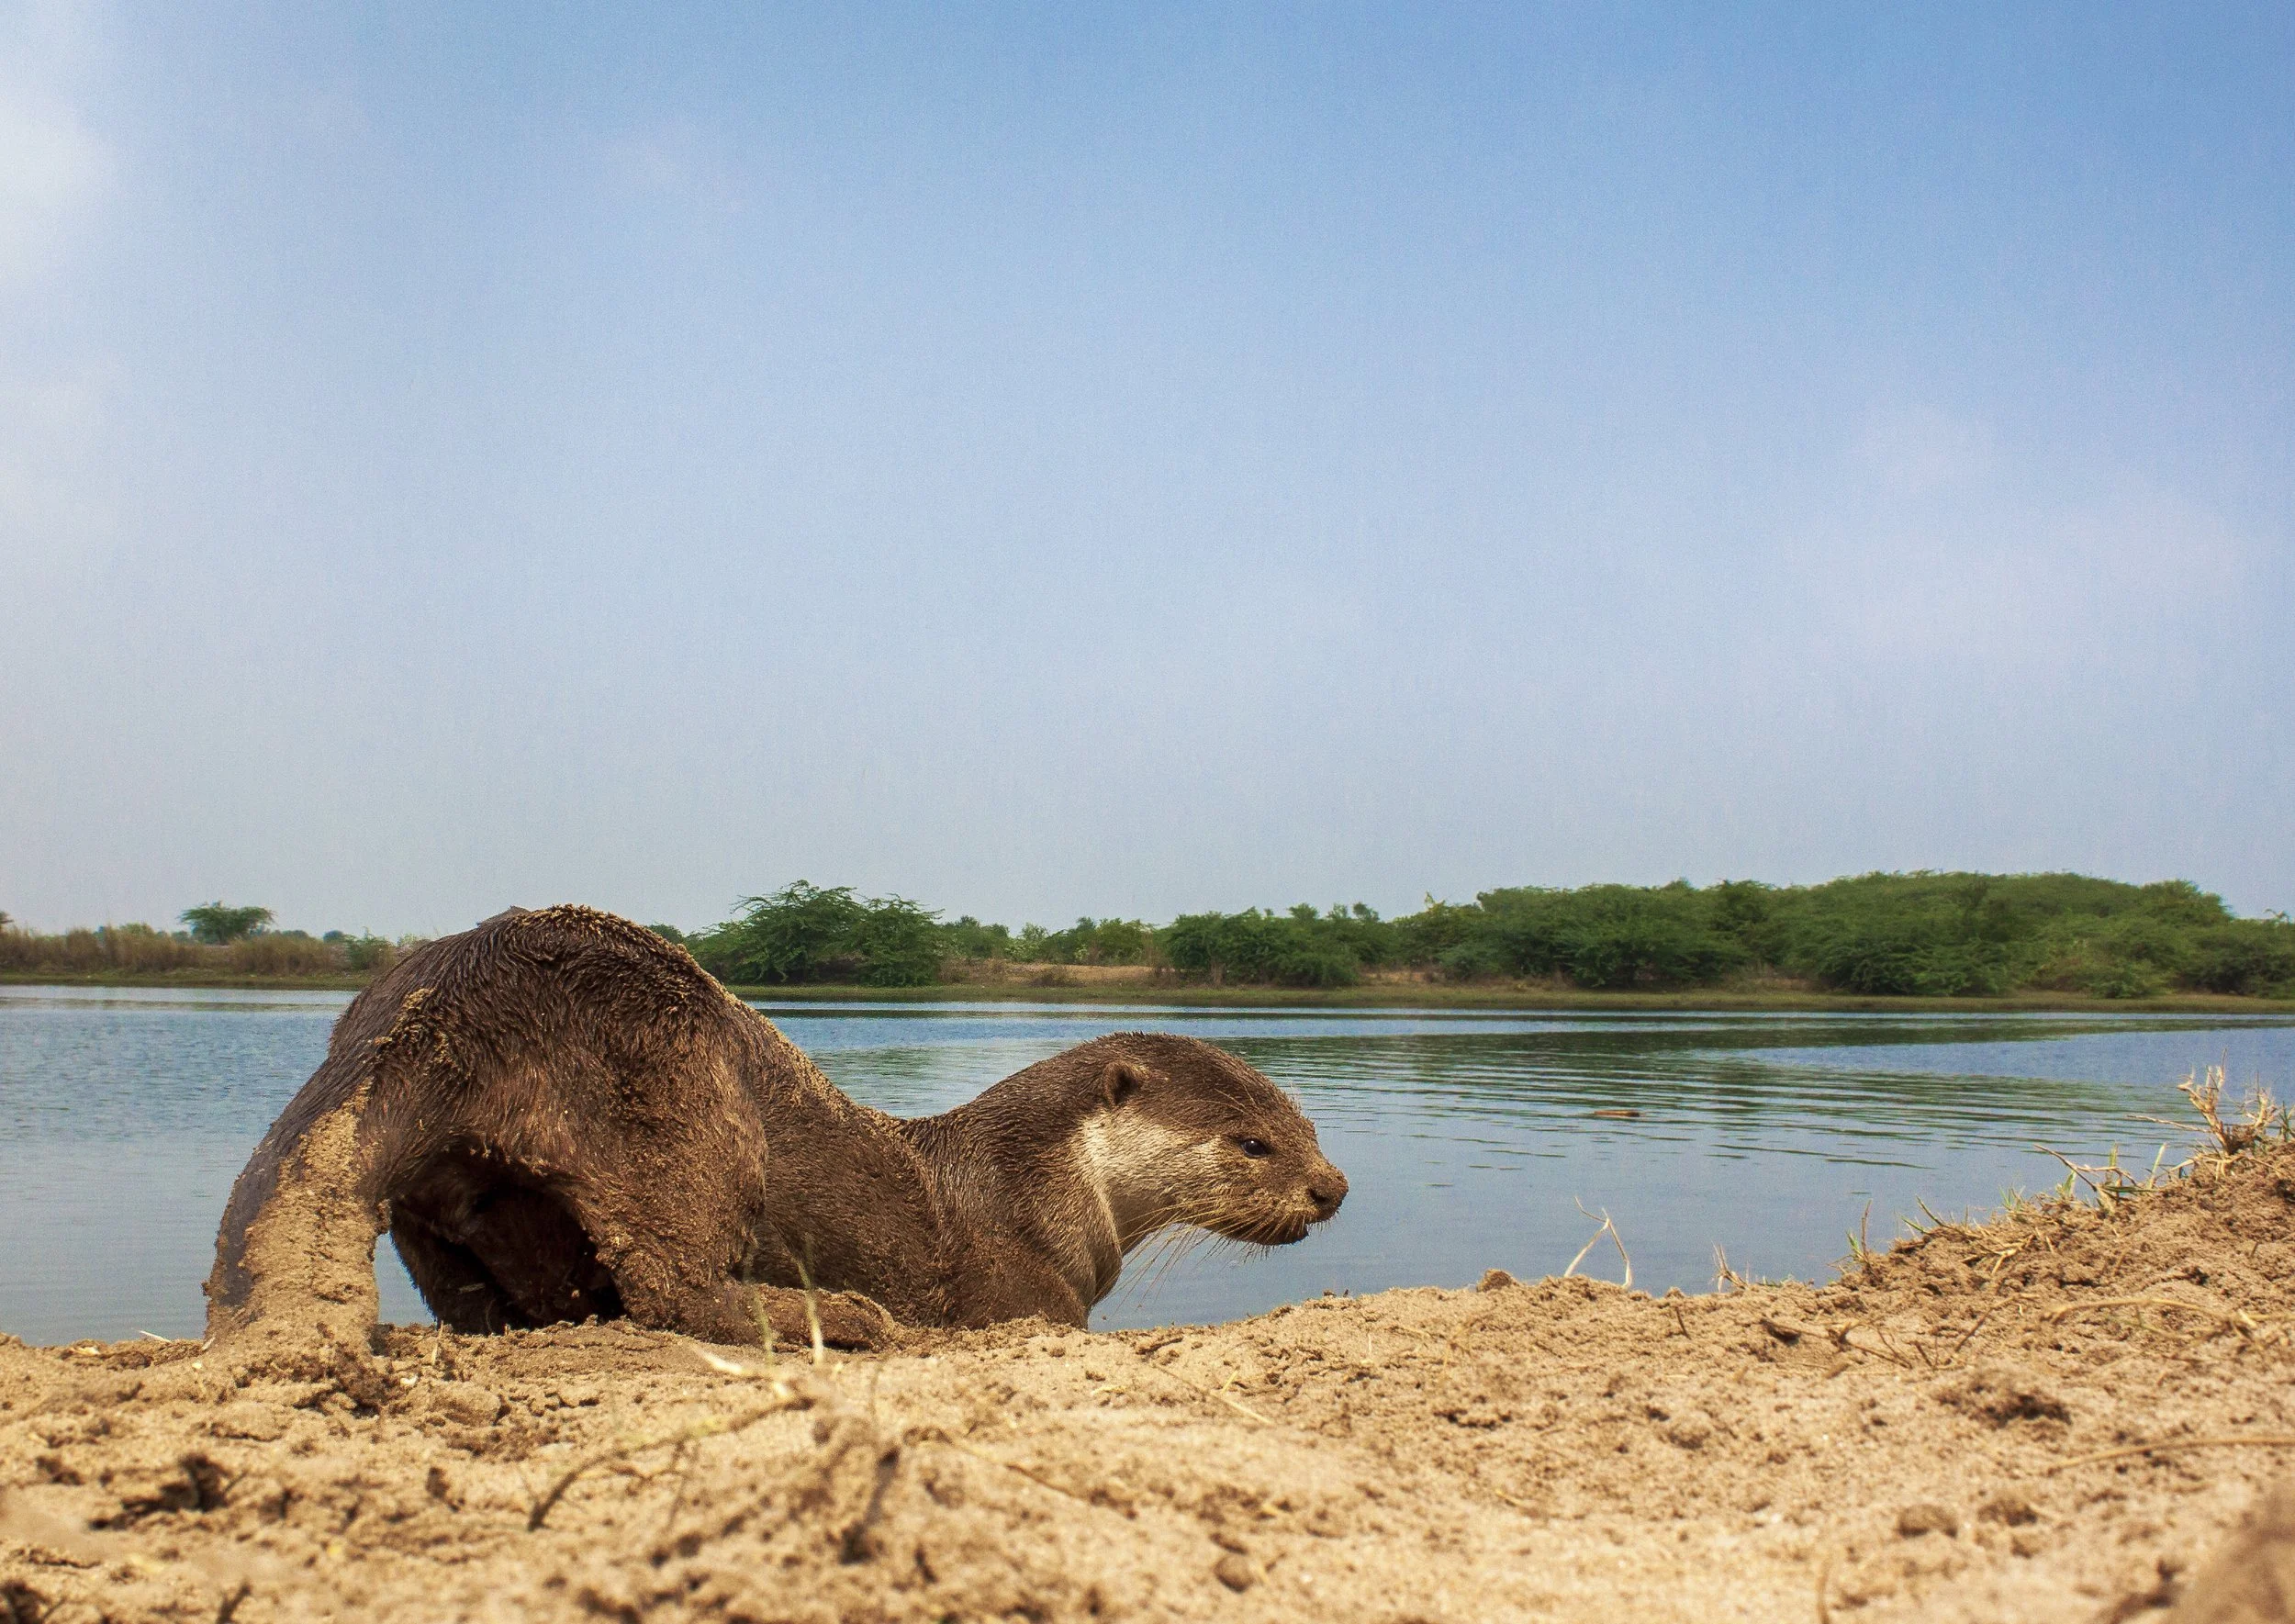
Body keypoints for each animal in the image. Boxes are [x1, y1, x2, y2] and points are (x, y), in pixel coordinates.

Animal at [205, 905, 1346, 1354]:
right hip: (677, 1089)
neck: (1034, 1186)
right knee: (676, 1282)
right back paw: (844, 1317)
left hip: (448, 1209)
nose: (1331, 1187)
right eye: (1251, 1143)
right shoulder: (1032, 1292)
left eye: (1307, 1126)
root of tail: (447, 991)